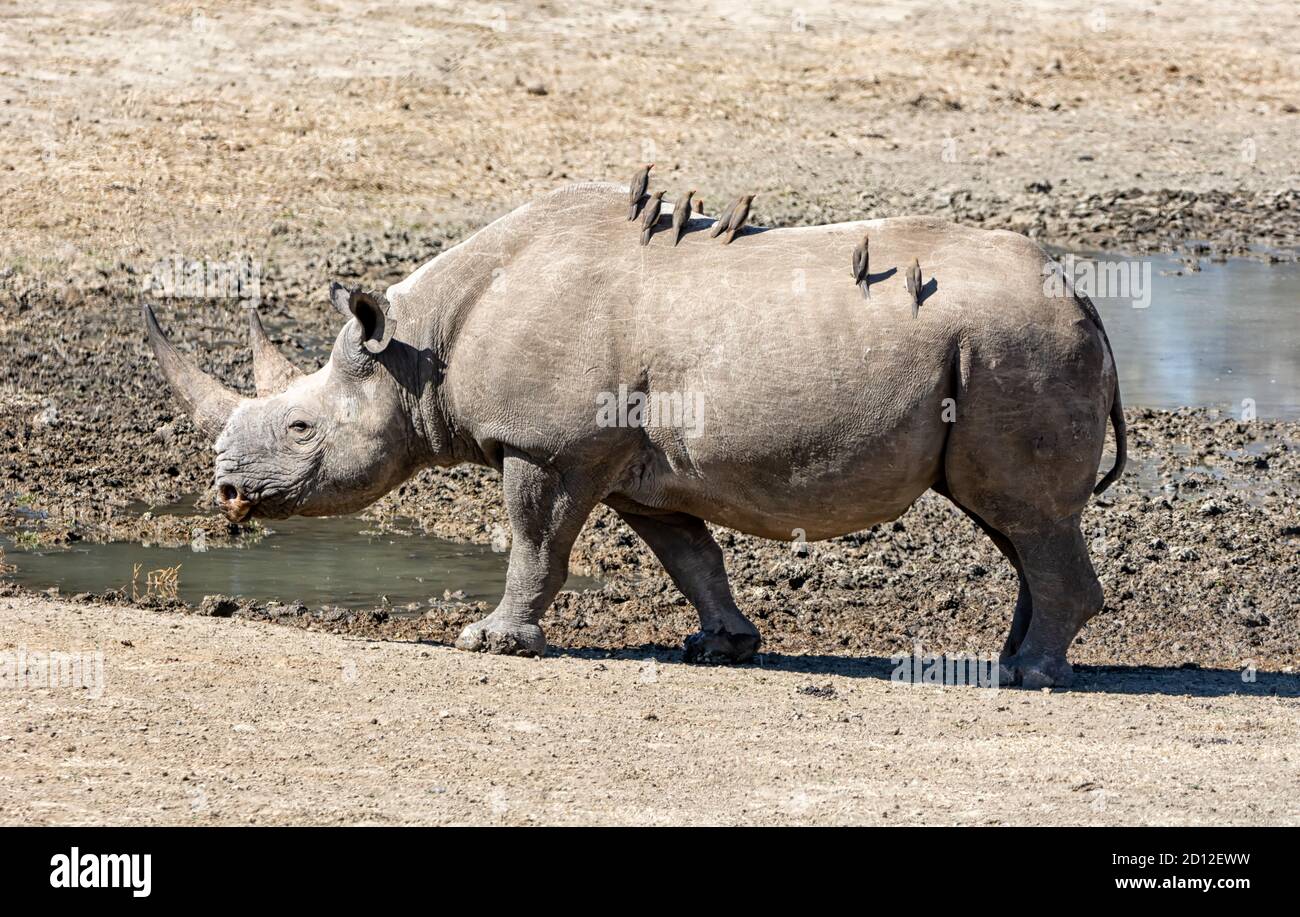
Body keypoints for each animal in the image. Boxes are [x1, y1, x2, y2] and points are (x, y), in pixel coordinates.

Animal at [144, 182, 1126, 687]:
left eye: (301, 426)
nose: (226, 493)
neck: (421, 349)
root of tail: (1080, 295)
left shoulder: (548, 446)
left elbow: (535, 545)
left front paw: (491, 641)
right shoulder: (628, 463)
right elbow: (690, 554)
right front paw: (722, 645)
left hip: (1013, 344)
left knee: (1024, 515)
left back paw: (1026, 677)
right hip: (999, 351)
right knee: (1015, 522)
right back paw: (1012, 660)